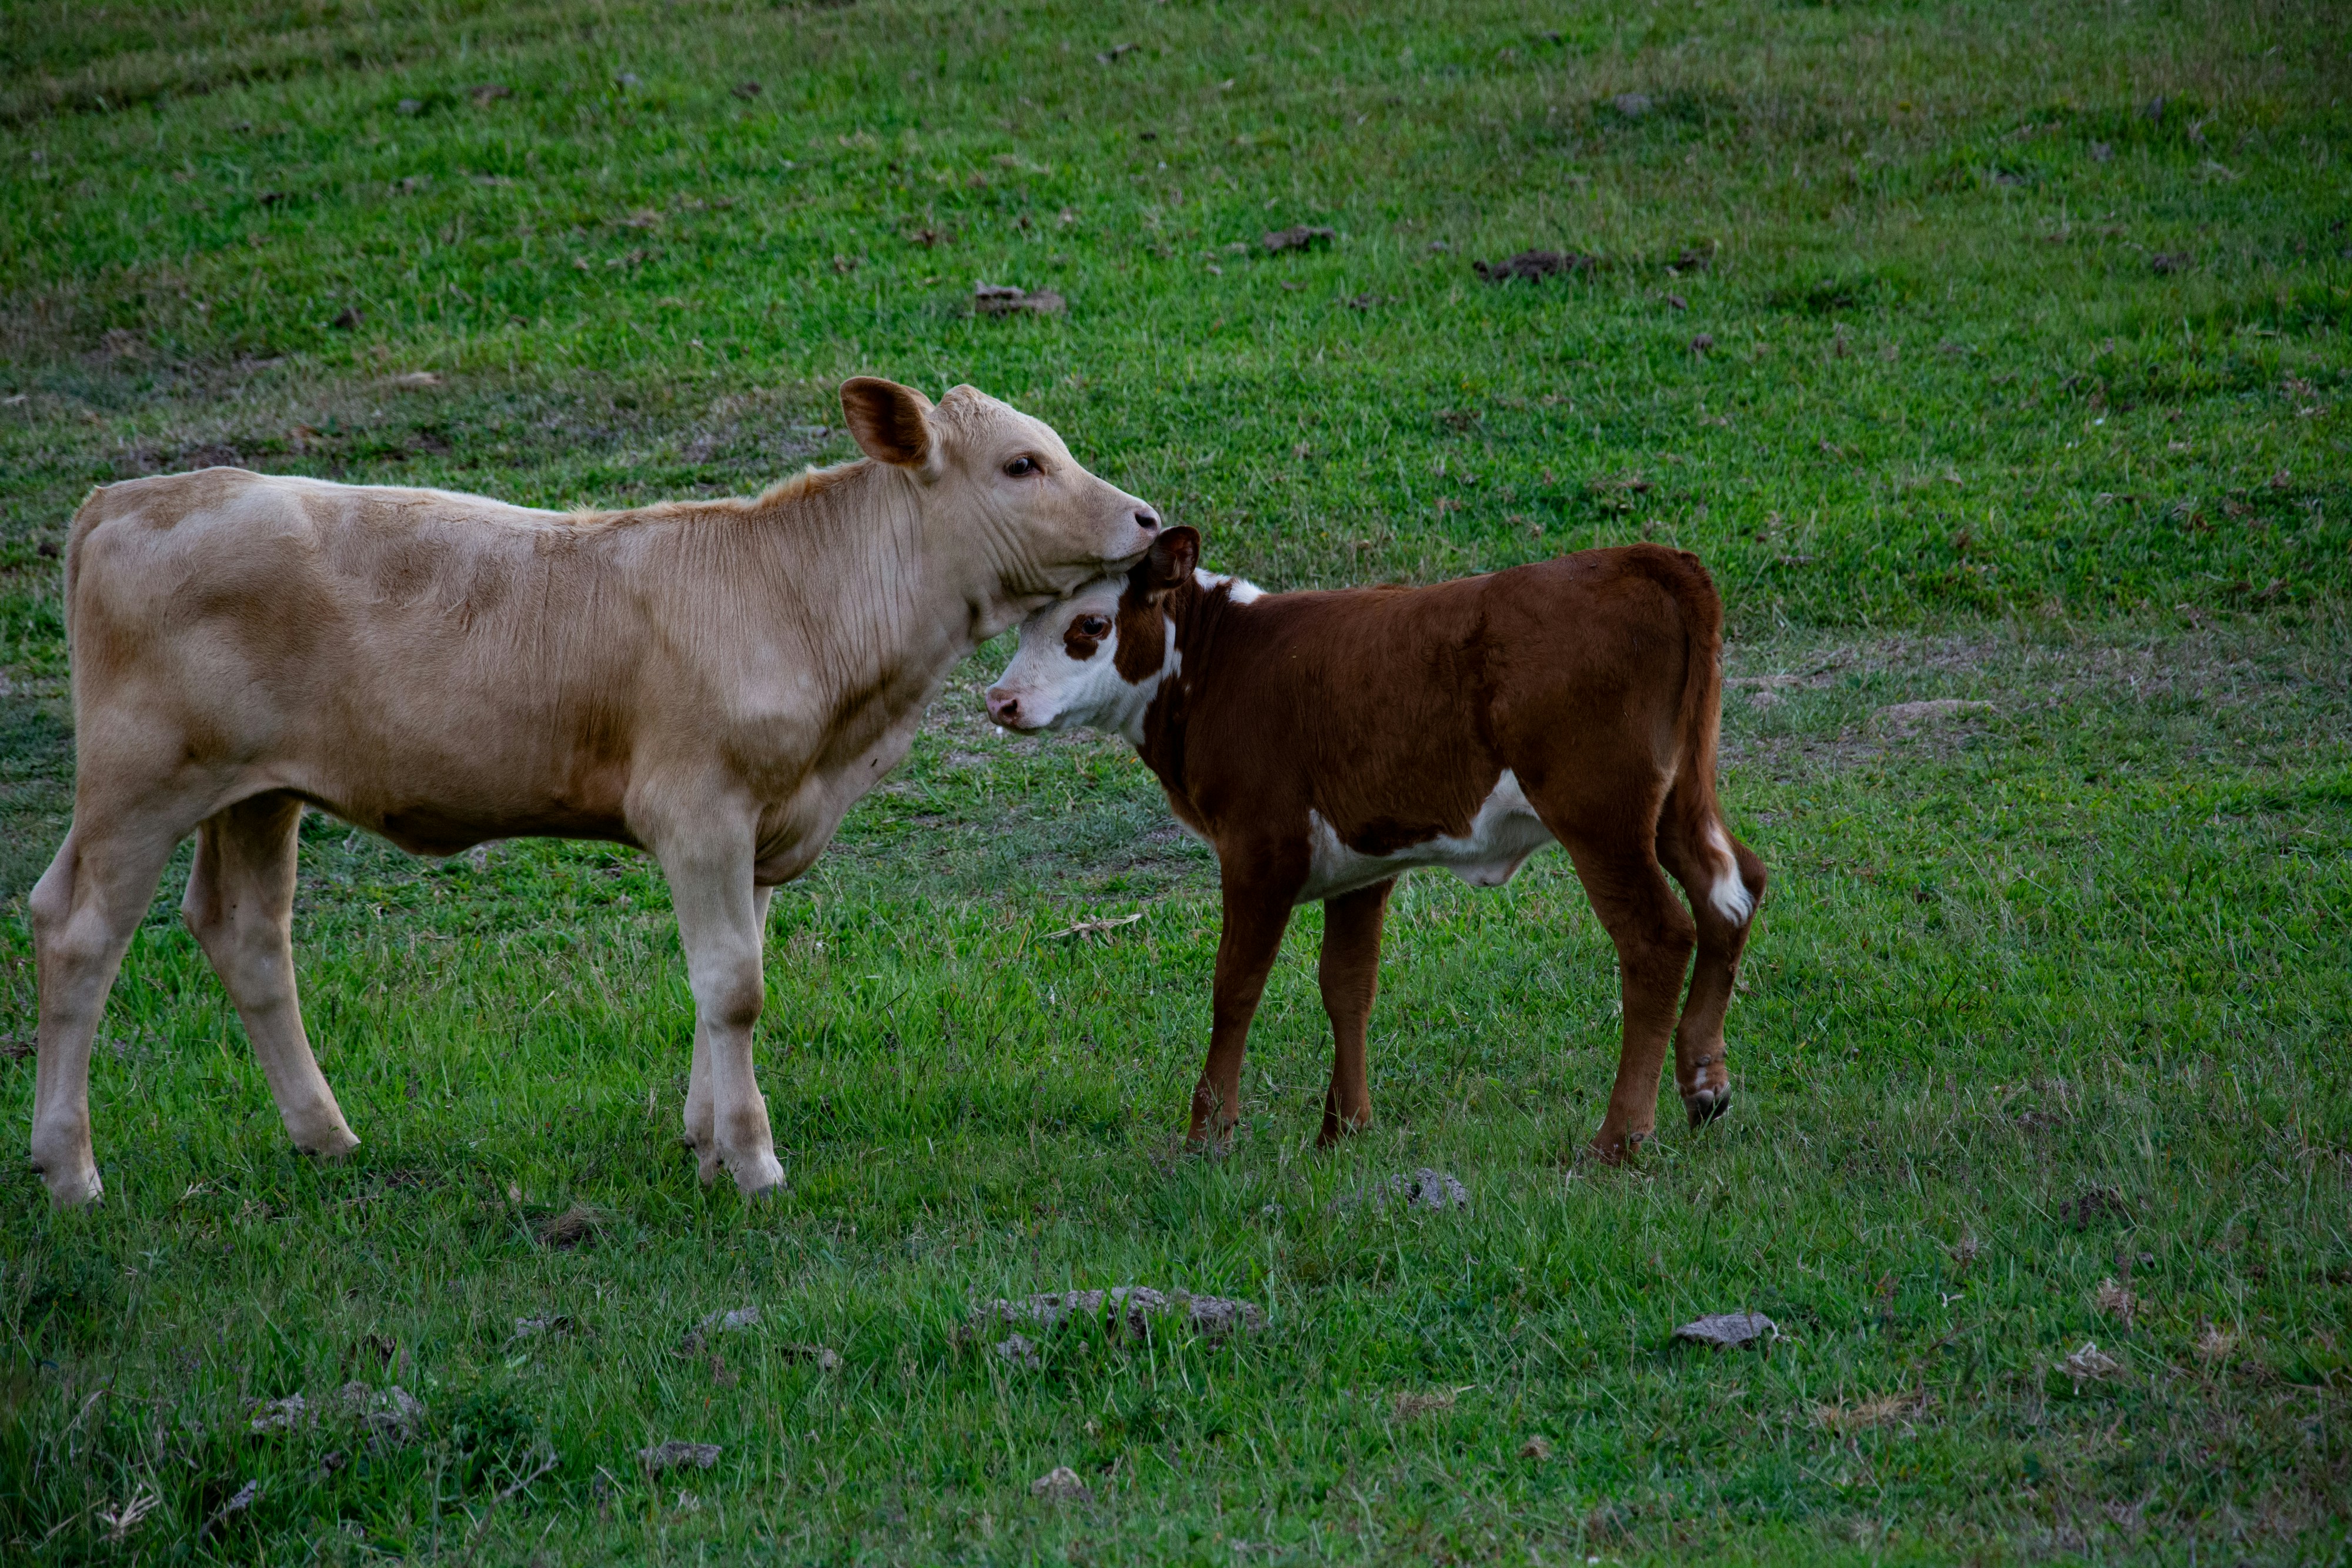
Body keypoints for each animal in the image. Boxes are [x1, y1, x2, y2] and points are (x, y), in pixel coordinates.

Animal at [29, 377, 1162, 1208]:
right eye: (1023, 462)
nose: (1148, 518)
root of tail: (124, 498)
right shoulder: (699, 810)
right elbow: (733, 985)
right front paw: (755, 1165)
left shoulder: (766, 824)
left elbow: (730, 981)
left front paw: (706, 1143)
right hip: (139, 783)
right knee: (79, 934)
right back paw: (71, 1172)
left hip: (256, 793)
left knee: (246, 932)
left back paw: (326, 1136)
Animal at [983, 527, 1766, 1161]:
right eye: (1022, 627)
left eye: (1090, 625)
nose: (1000, 702)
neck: (1216, 664)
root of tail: (1646, 557)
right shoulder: (1361, 865)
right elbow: (1347, 986)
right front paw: (1342, 1131)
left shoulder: (1260, 850)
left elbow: (1235, 987)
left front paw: (1207, 1135)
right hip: (1677, 797)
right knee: (1734, 889)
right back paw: (1704, 1084)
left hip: (1598, 812)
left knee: (1657, 936)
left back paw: (1619, 1139)